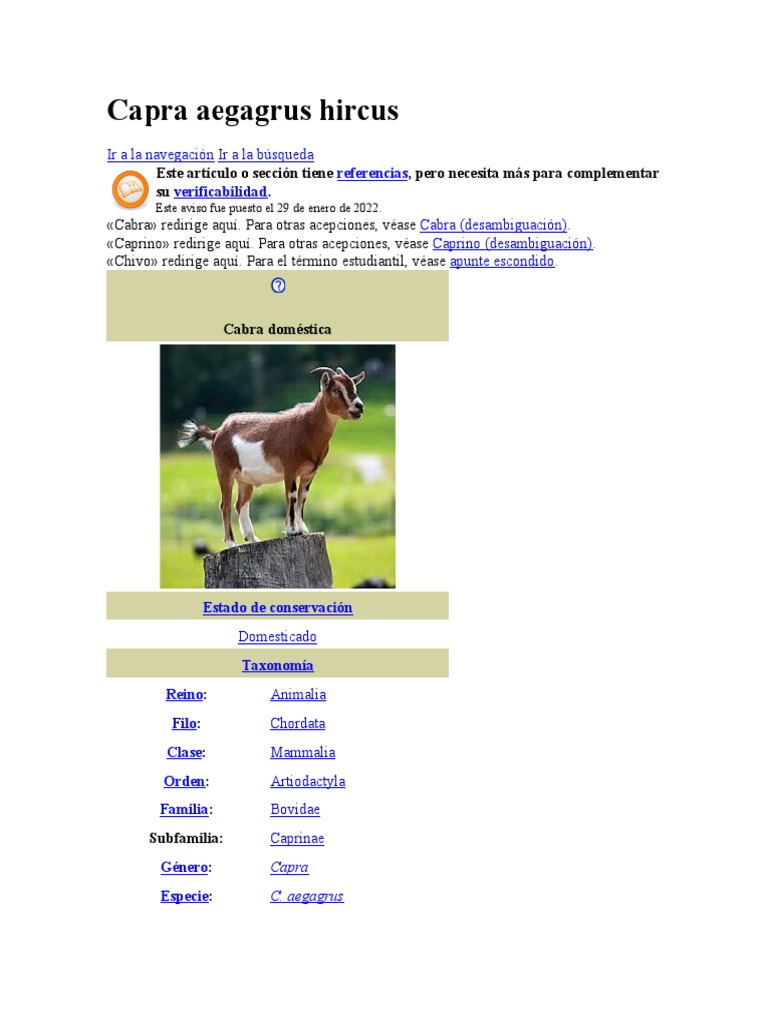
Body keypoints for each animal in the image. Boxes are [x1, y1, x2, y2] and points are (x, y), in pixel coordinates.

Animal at [177, 367, 365, 548]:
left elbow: (303, 497)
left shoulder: (309, 472)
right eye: (336, 390)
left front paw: (303, 529)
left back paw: (252, 538)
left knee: (240, 504)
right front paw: (292, 531)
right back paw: (231, 543)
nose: (359, 406)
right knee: (225, 505)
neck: (307, 427)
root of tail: (216, 433)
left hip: (244, 479)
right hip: (224, 471)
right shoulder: (290, 468)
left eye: (354, 388)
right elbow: (292, 495)